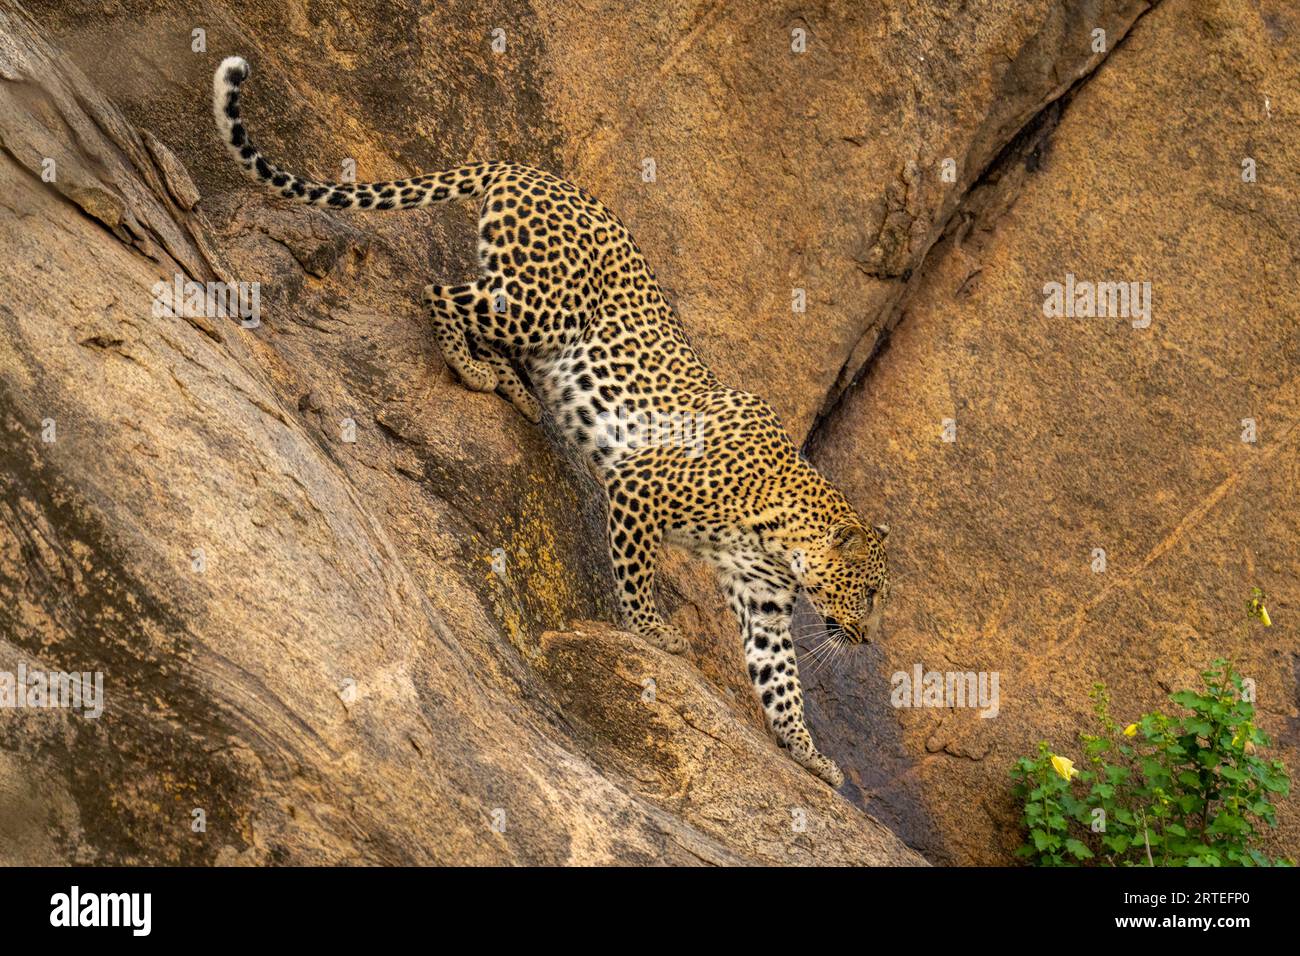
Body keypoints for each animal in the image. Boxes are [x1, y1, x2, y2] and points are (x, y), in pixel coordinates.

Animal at [212, 56, 891, 788]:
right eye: (868, 592)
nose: (866, 637)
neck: (782, 537)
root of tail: (529, 170)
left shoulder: (761, 602)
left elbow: (780, 681)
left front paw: (809, 753)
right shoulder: (640, 488)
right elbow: (635, 572)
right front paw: (654, 632)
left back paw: (512, 385)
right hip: (542, 305)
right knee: (439, 291)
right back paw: (475, 370)